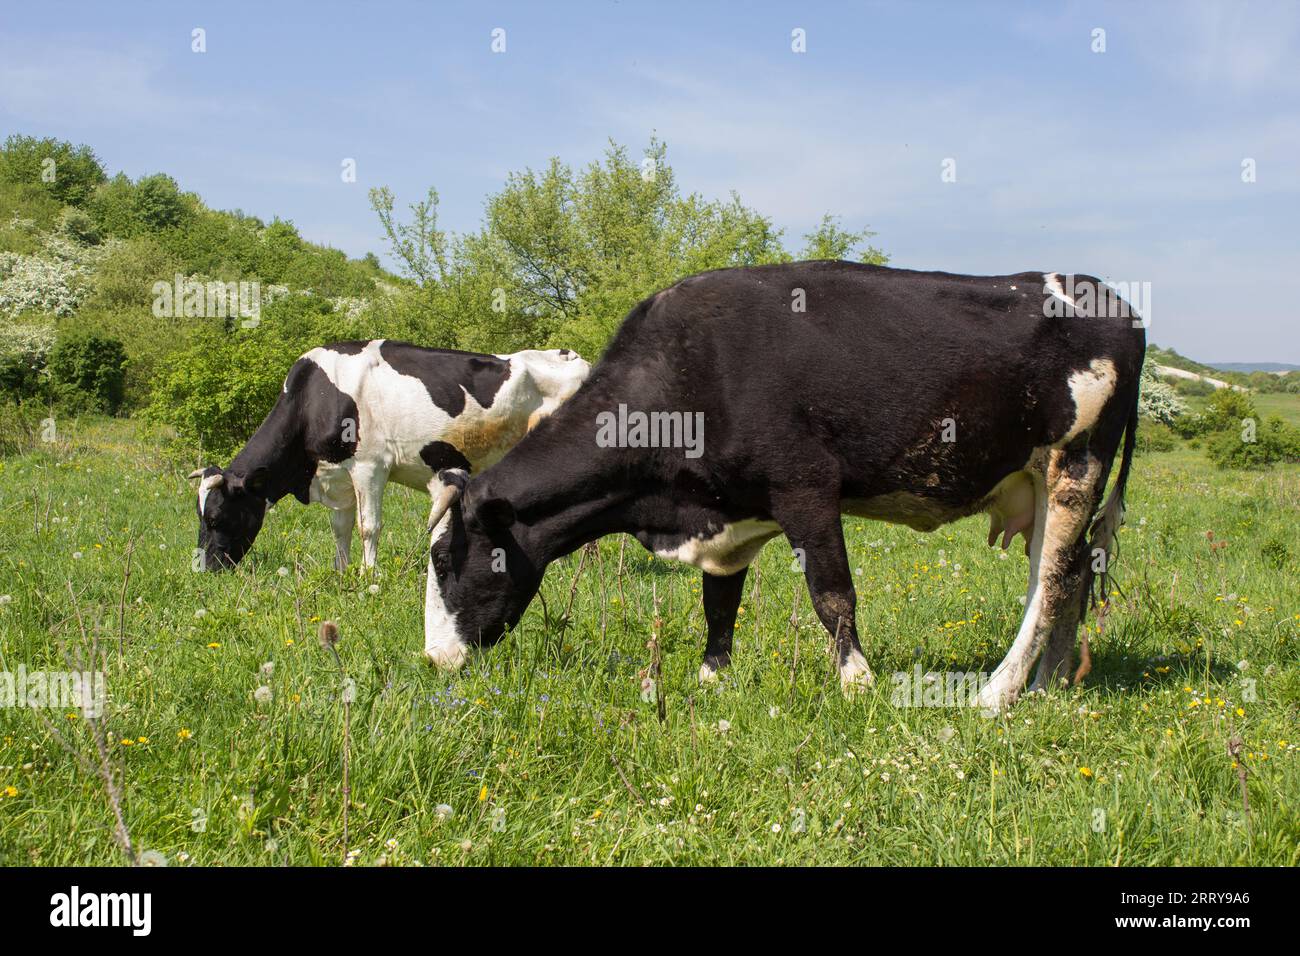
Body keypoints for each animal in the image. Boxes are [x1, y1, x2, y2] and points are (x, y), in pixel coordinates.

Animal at [188, 341, 590, 571]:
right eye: (200, 515)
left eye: (216, 517)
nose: (203, 570)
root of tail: (575, 358)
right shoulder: (337, 476)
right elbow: (340, 527)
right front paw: (341, 572)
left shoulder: (370, 466)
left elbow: (369, 526)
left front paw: (370, 576)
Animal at [421, 262, 1146, 712]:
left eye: (446, 557)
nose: (432, 658)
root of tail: (1109, 298)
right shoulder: (725, 514)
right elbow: (719, 603)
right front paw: (711, 680)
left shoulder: (806, 489)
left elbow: (833, 594)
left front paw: (857, 686)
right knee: (1070, 577)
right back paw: (1047, 686)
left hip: (1075, 464)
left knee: (1051, 580)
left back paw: (997, 694)